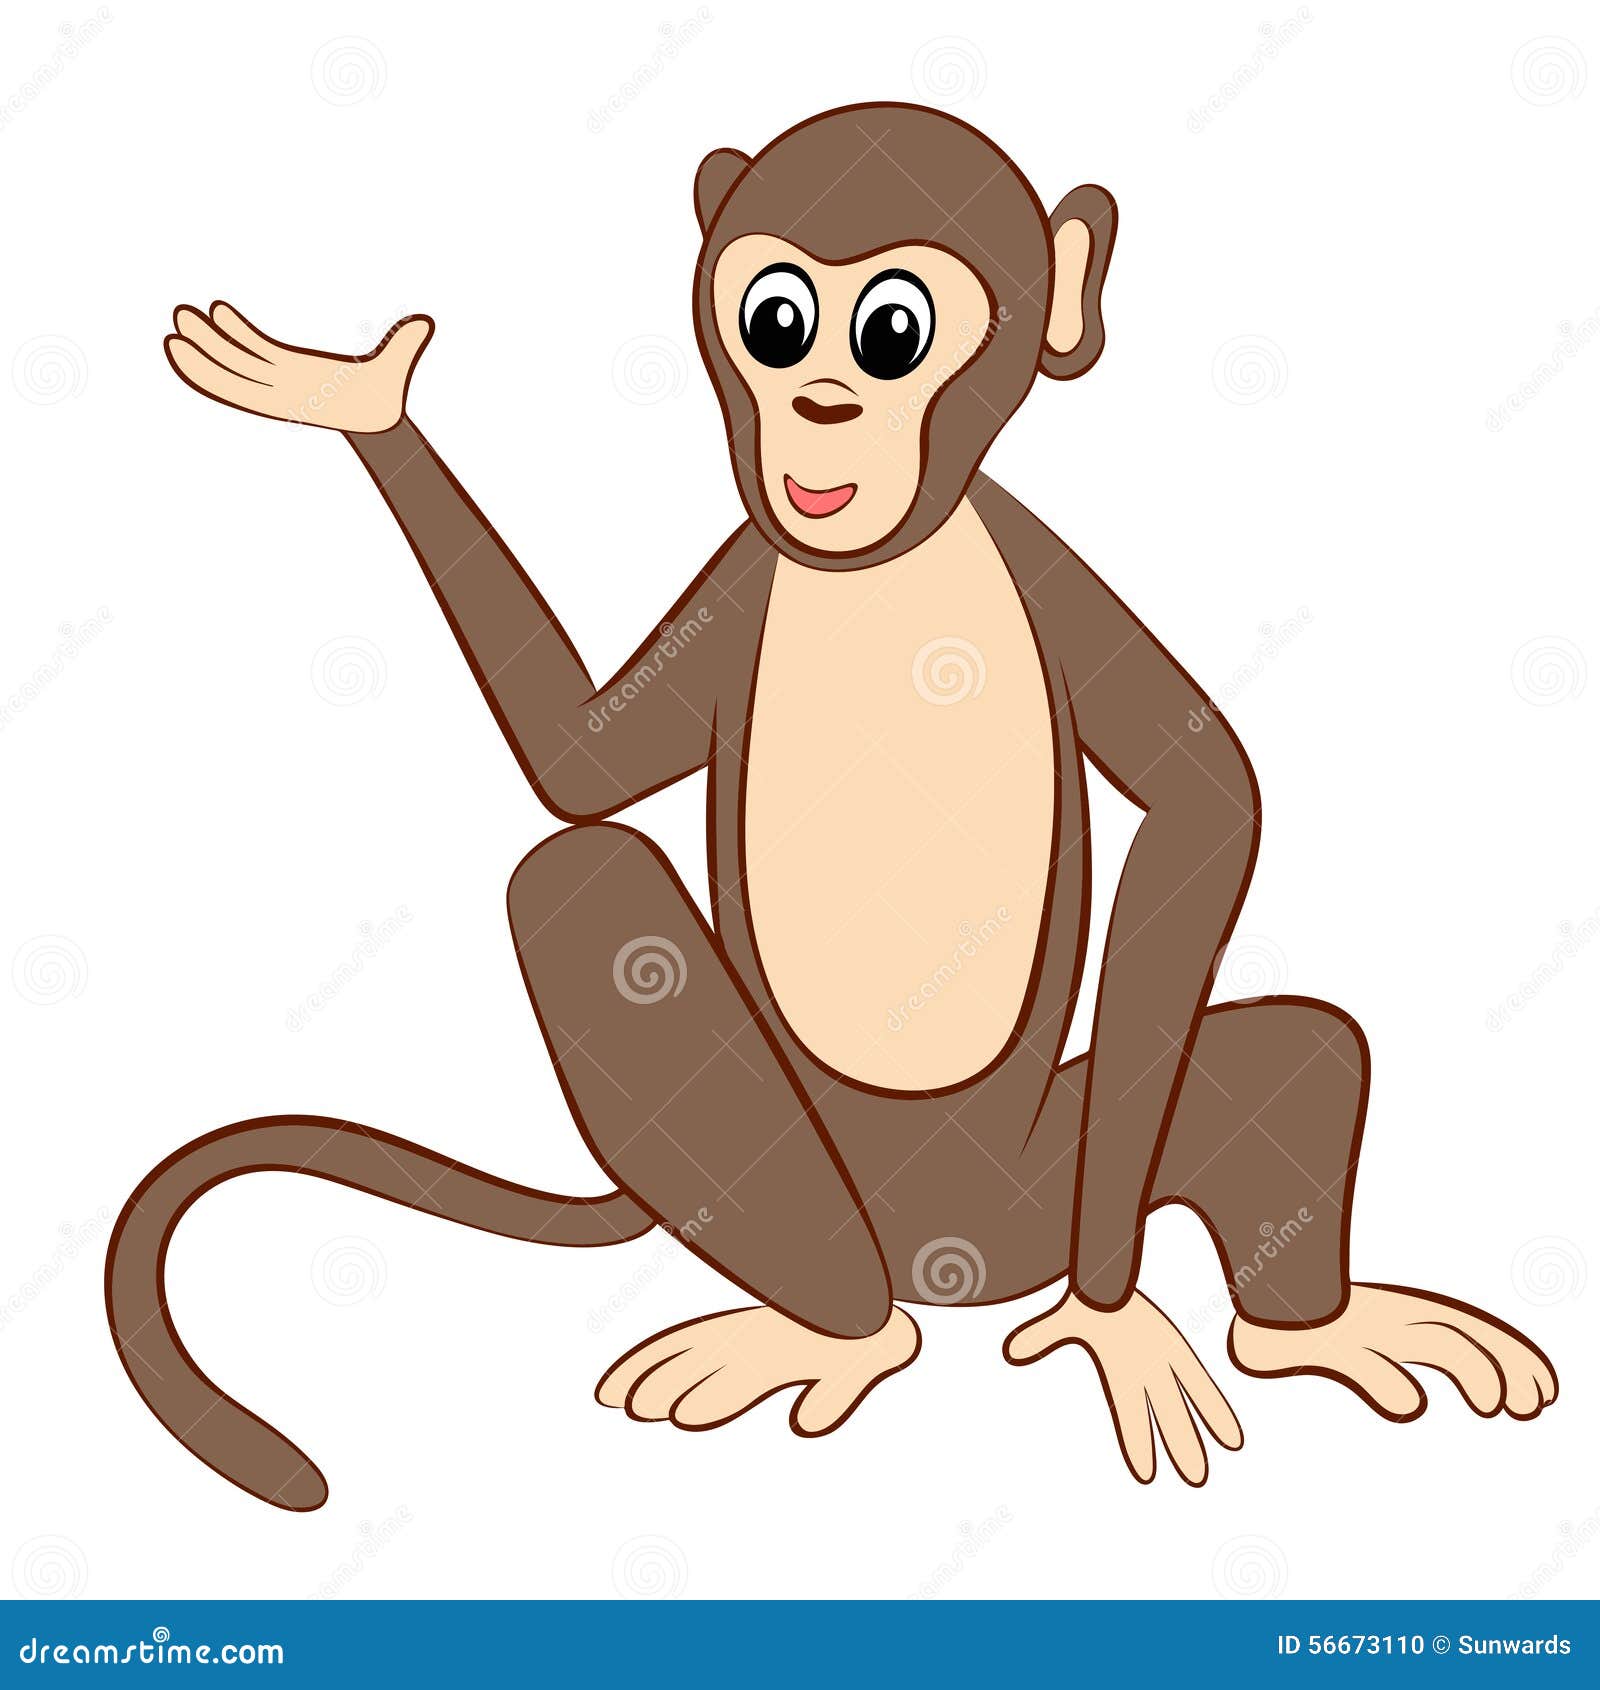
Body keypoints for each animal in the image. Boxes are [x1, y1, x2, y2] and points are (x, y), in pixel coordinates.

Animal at [119, 102, 1556, 1512]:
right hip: (813, 1180)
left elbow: (1208, 800)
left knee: (1302, 1057)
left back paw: (1311, 1325)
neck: (881, 562)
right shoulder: (738, 577)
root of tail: (940, 1262)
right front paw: (350, 400)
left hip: (1046, 1177)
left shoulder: (1053, 578)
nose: (817, 406)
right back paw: (835, 1330)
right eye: (774, 321)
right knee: (578, 883)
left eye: (892, 333)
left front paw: (1111, 1312)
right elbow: (581, 772)